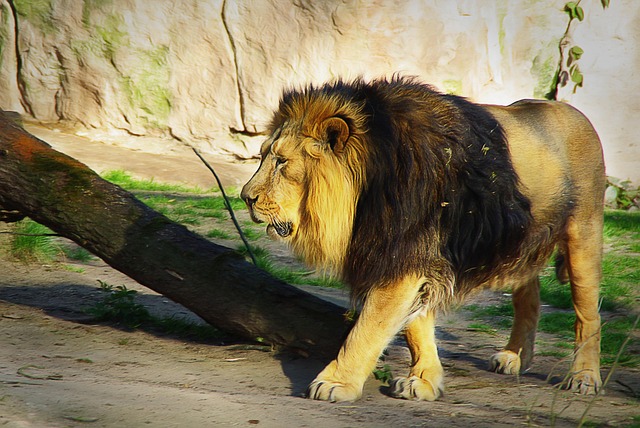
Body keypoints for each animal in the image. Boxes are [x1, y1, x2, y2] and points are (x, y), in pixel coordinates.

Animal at [241, 76, 605, 402]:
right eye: (264, 156)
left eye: (282, 162)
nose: (245, 197)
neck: (367, 187)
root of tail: (573, 111)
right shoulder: (413, 256)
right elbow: (416, 326)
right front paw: (425, 381)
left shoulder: (405, 254)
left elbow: (367, 329)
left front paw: (335, 383)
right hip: (518, 244)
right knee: (529, 298)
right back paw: (515, 357)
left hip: (584, 234)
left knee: (588, 313)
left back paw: (584, 378)